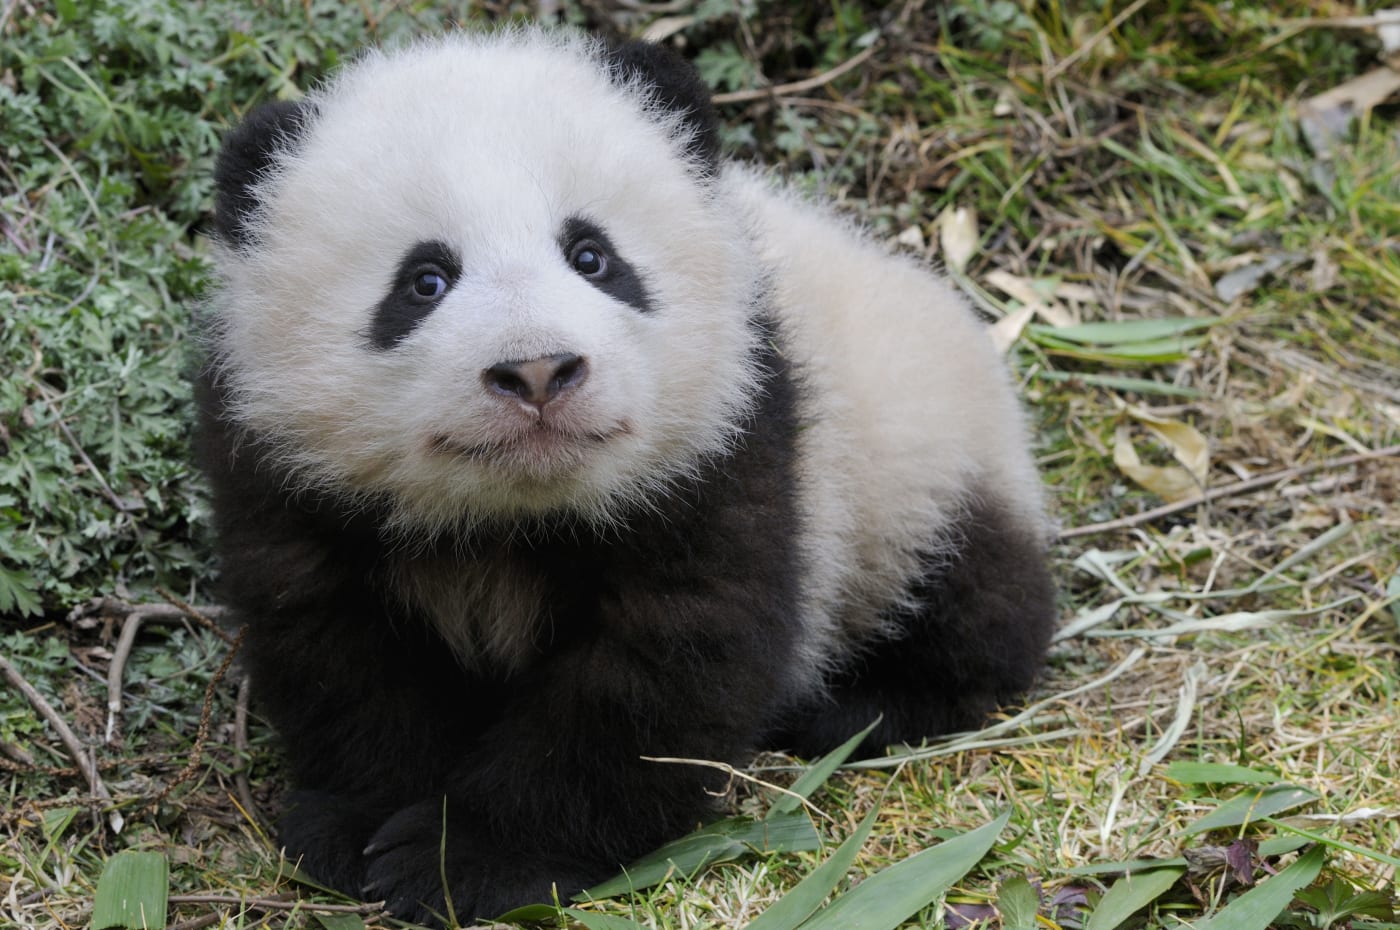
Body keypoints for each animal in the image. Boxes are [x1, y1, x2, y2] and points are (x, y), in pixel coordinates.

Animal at [196, 26, 1056, 925]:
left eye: (593, 257)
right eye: (424, 281)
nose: (538, 370)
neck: (513, 513)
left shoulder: (729, 442)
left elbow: (657, 672)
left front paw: (470, 859)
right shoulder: (285, 473)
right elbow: (341, 654)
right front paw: (359, 823)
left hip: (914, 463)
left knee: (973, 600)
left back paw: (856, 704)